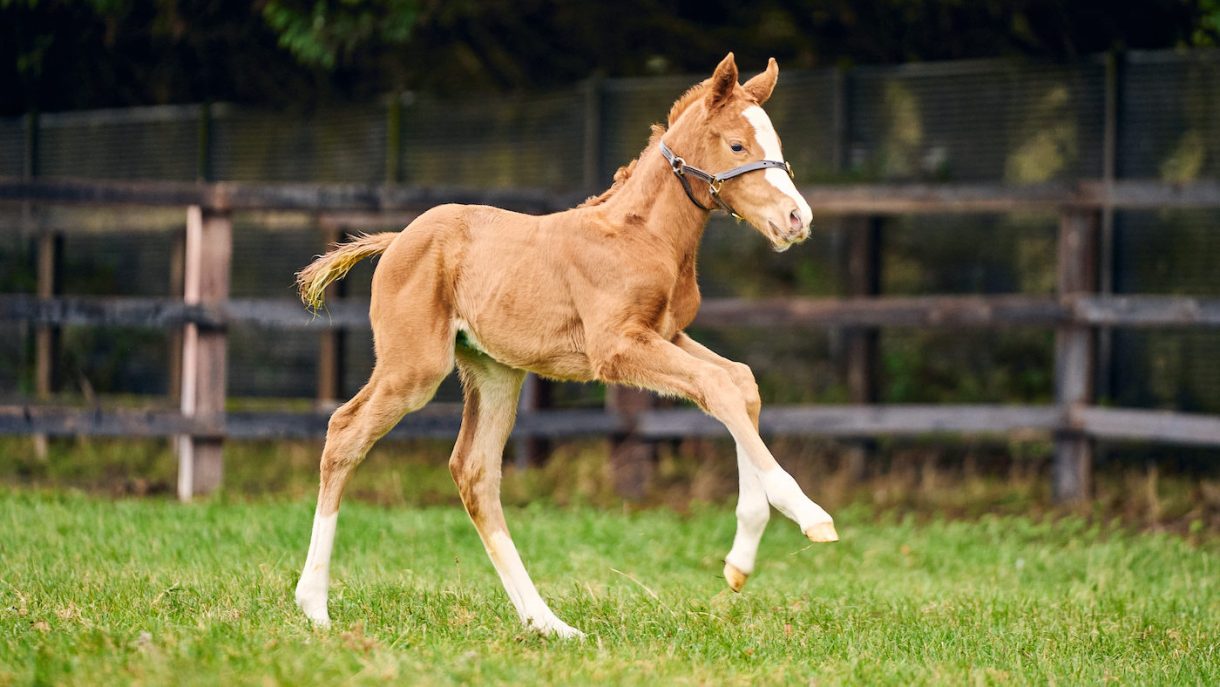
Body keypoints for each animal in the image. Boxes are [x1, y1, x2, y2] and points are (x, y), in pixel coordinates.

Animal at [293, 53, 837, 638]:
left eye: (775, 141)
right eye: (737, 145)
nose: (797, 219)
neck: (644, 236)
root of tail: (397, 240)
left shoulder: (667, 333)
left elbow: (739, 381)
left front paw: (740, 560)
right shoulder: (617, 348)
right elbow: (718, 386)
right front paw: (808, 514)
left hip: (495, 372)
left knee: (474, 472)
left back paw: (547, 623)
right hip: (413, 367)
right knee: (345, 432)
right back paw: (315, 606)